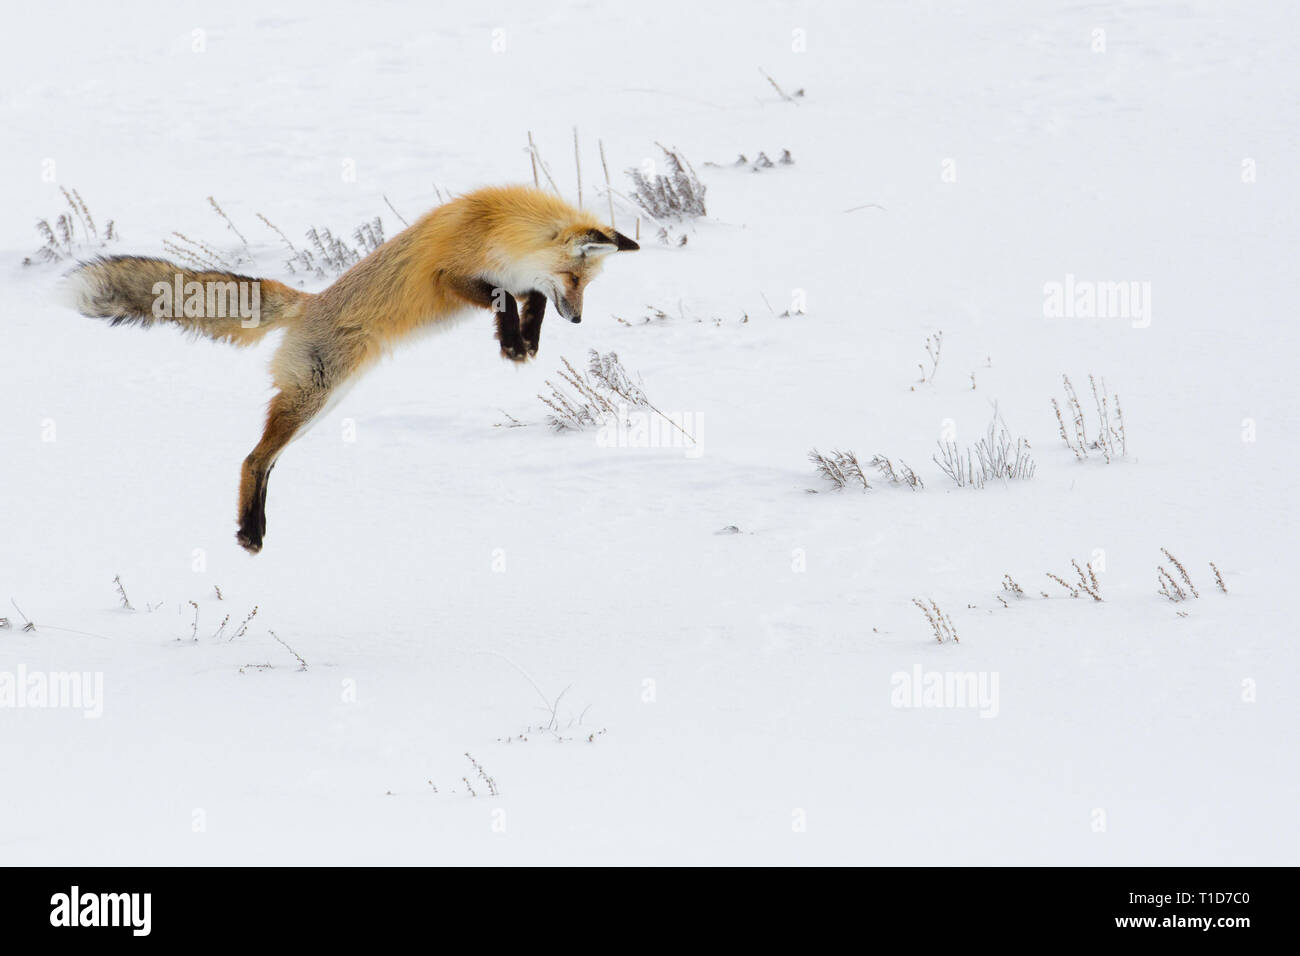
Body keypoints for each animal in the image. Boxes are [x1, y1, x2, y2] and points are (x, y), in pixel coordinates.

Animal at [64, 185, 639, 554]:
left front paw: (526, 343)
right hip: (314, 395)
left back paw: (254, 528)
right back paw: (249, 533)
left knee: (266, 461)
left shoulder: (520, 280)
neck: (500, 227)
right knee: (252, 459)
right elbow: (501, 297)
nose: (578, 318)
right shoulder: (449, 276)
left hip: (322, 403)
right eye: (576, 278)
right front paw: (515, 344)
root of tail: (308, 302)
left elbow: (527, 299)